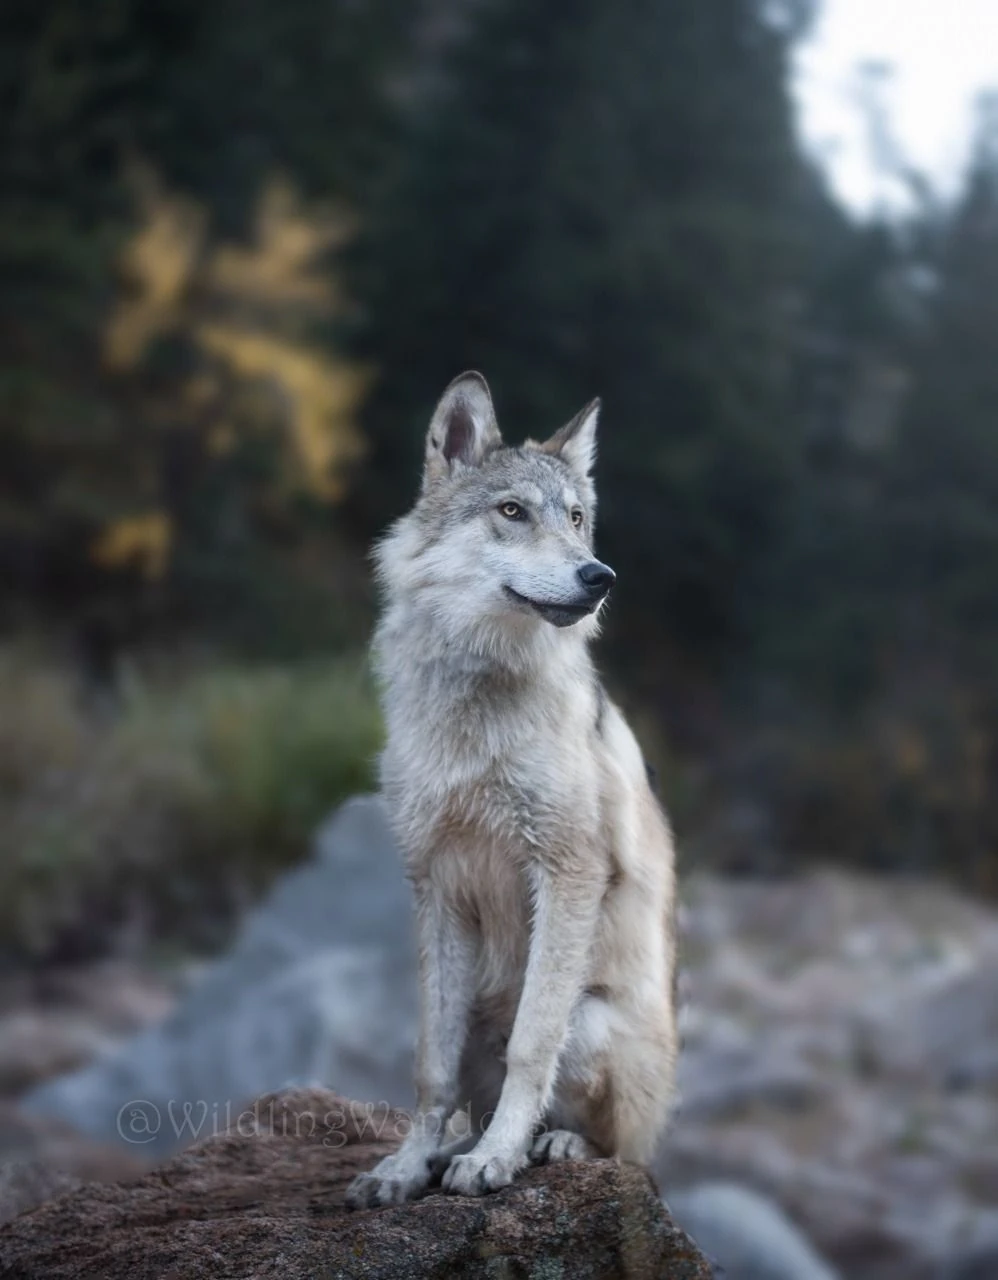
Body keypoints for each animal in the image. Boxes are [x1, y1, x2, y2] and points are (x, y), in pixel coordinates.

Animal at [346, 372, 678, 1206]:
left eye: (577, 519)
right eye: (512, 512)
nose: (600, 576)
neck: (480, 703)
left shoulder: (568, 872)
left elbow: (533, 1045)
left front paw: (496, 1160)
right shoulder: (434, 884)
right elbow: (428, 1068)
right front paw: (405, 1166)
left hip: (594, 1024)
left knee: (619, 1150)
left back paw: (545, 1145)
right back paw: (451, 1152)